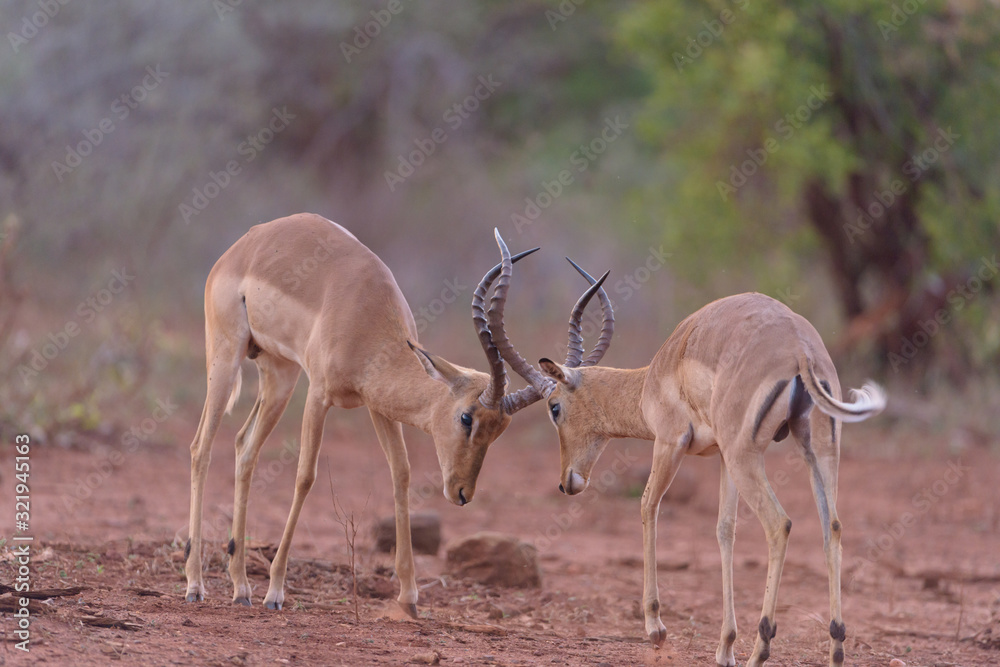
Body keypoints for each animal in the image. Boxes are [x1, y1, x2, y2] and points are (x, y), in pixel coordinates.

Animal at [184, 213, 548, 616]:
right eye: (467, 417)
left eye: (500, 429)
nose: (462, 492)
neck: (365, 308)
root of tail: (241, 247)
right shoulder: (318, 395)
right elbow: (305, 476)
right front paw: (276, 592)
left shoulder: (378, 406)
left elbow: (400, 473)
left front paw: (408, 597)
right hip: (226, 356)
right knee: (201, 447)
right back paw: (196, 585)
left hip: (280, 375)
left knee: (244, 447)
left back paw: (241, 587)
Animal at [488, 246, 887, 667]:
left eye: (554, 408)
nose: (567, 482)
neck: (657, 373)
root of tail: (799, 349)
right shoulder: (723, 458)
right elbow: (725, 530)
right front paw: (725, 647)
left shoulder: (670, 441)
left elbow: (648, 505)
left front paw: (656, 629)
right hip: (816, 450)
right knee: (833, 527)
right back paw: (836, 647)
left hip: (749, 456)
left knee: (780, 523)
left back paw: (760, 649)